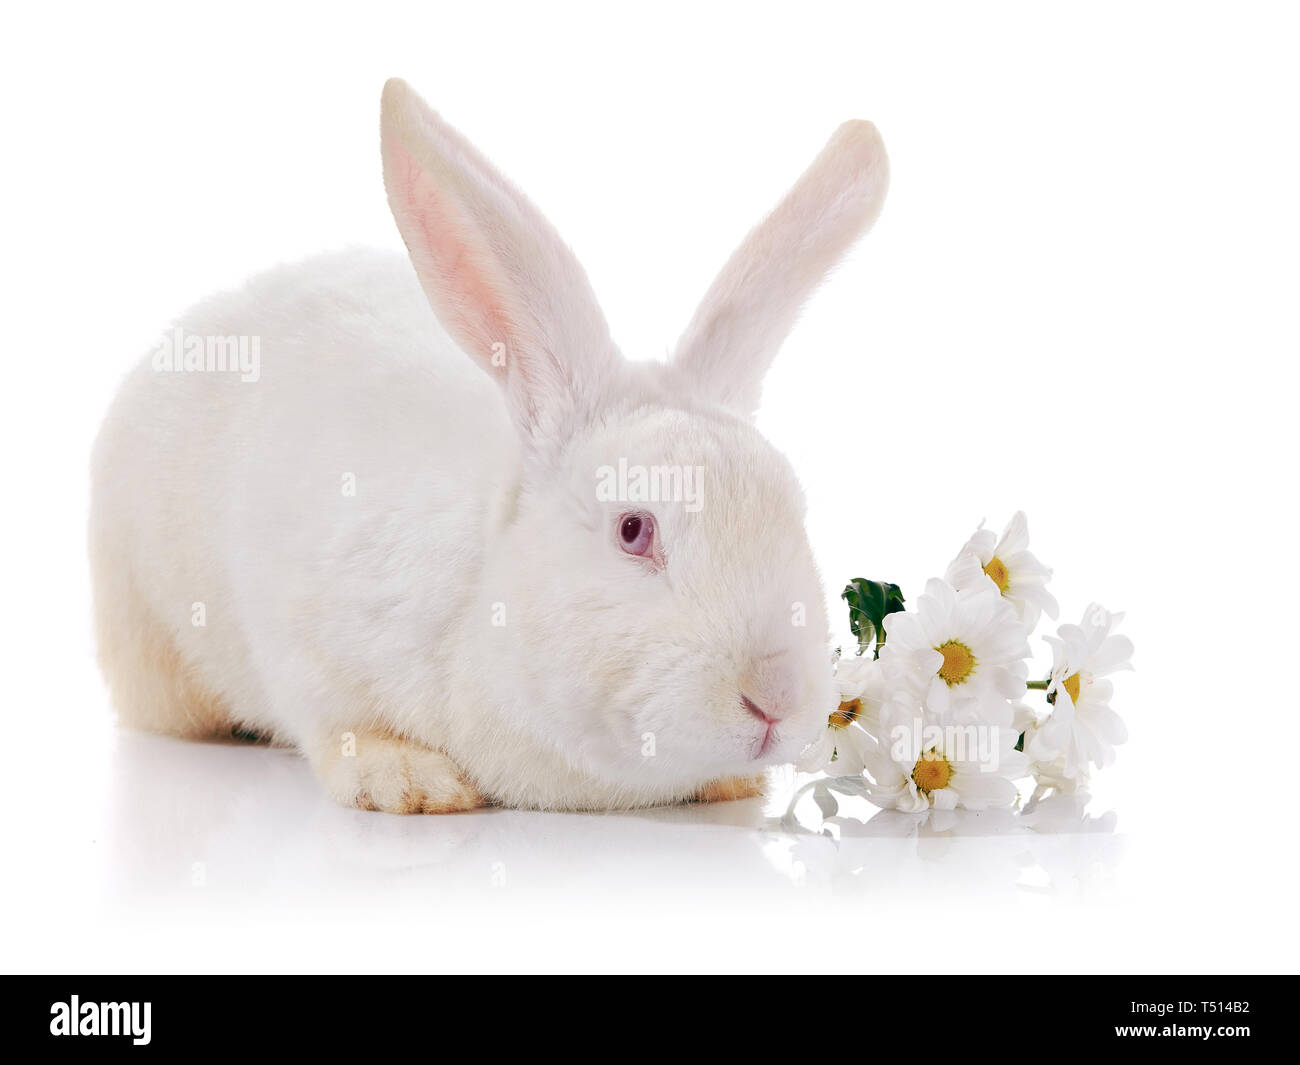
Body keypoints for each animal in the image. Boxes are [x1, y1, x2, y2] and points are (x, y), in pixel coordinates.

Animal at [89, 78, 889, 813]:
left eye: (796, 513)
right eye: (633, 529)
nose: (775, 697)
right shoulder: (307, 636)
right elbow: (340, 723)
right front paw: (411, 781)